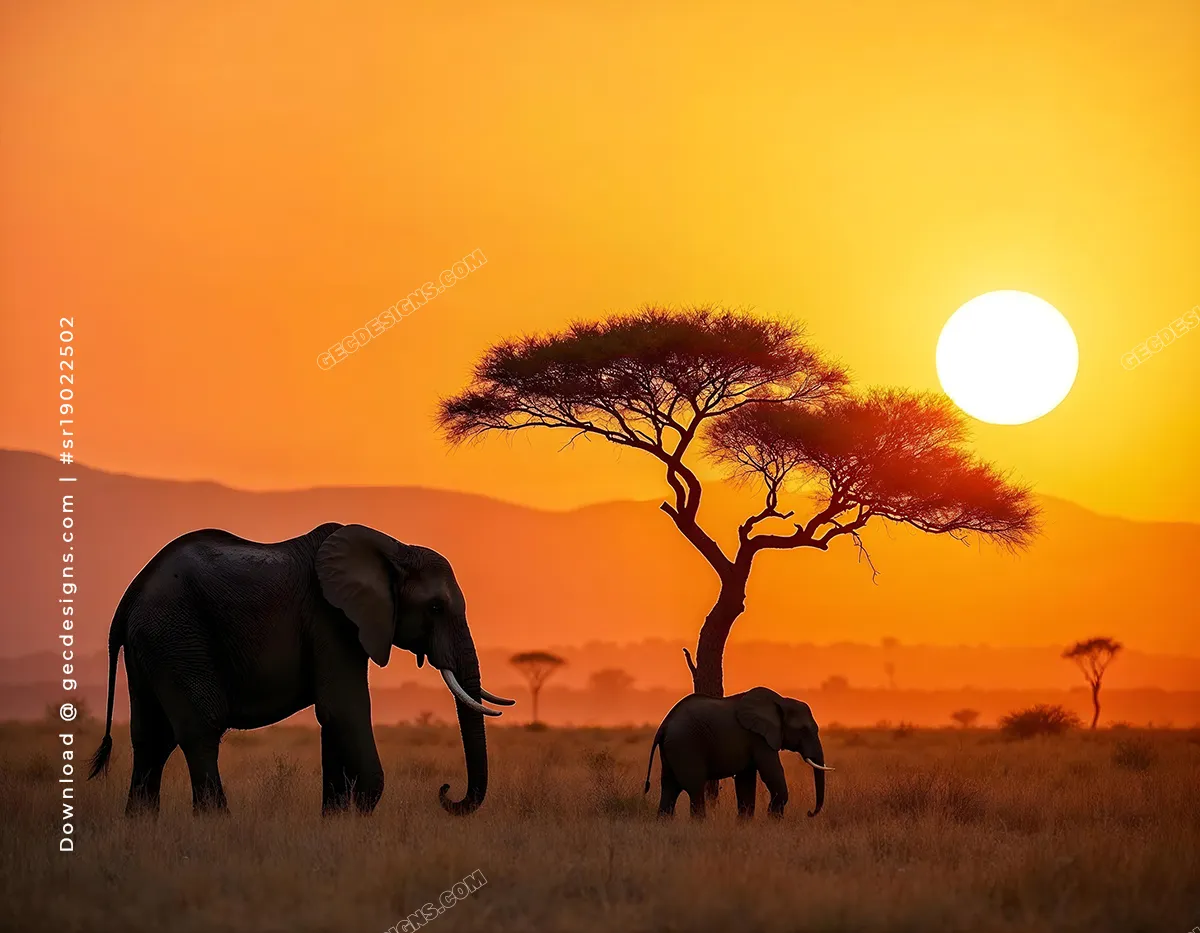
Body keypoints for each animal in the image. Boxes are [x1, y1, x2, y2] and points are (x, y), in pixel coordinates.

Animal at [87, 522, 513, 816]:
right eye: (436, 607)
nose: (445, 790)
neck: (394, 549)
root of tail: (130, 596)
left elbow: (333, 719)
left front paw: (335, 822)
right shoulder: (330, 620)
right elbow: (344, 710)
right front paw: (357, 815)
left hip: (151, 646)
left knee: (150, 737)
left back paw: (141, 826)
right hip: (177, 634)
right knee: (200, 728)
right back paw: (216, 825)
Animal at [643, 687, 833, 819]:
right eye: (804, 730)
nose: (809, 812)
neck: (782, 701)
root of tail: (663, 726)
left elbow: (746, 780)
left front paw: (745, 824)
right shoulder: (759, 737)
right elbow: (771, 772)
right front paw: (773, 820)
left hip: (673, 749)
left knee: (669, 787)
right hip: (685, 745)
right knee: (694, 787)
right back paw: (700, 824)